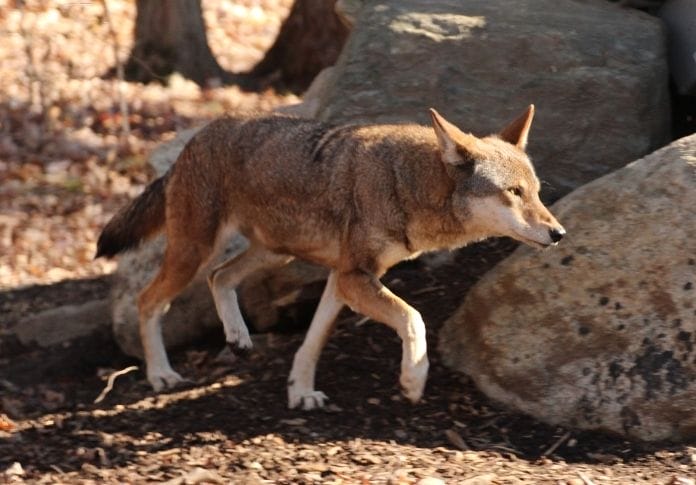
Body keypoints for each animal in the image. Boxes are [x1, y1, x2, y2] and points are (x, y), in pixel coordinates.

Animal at [97, 105, 565, 410]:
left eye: (537, 192)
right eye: (513, 192)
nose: (559, 234)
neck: (404, 183)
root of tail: (194, 139)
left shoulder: (343, 278)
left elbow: (313, 340)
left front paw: (301, 392)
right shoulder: (356, 277)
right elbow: (414, 318)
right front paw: (413, 379)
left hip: (272, 254)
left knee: (220, 278)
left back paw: (238, 336)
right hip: (195, 252)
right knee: (148, 300)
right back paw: (160, 373)